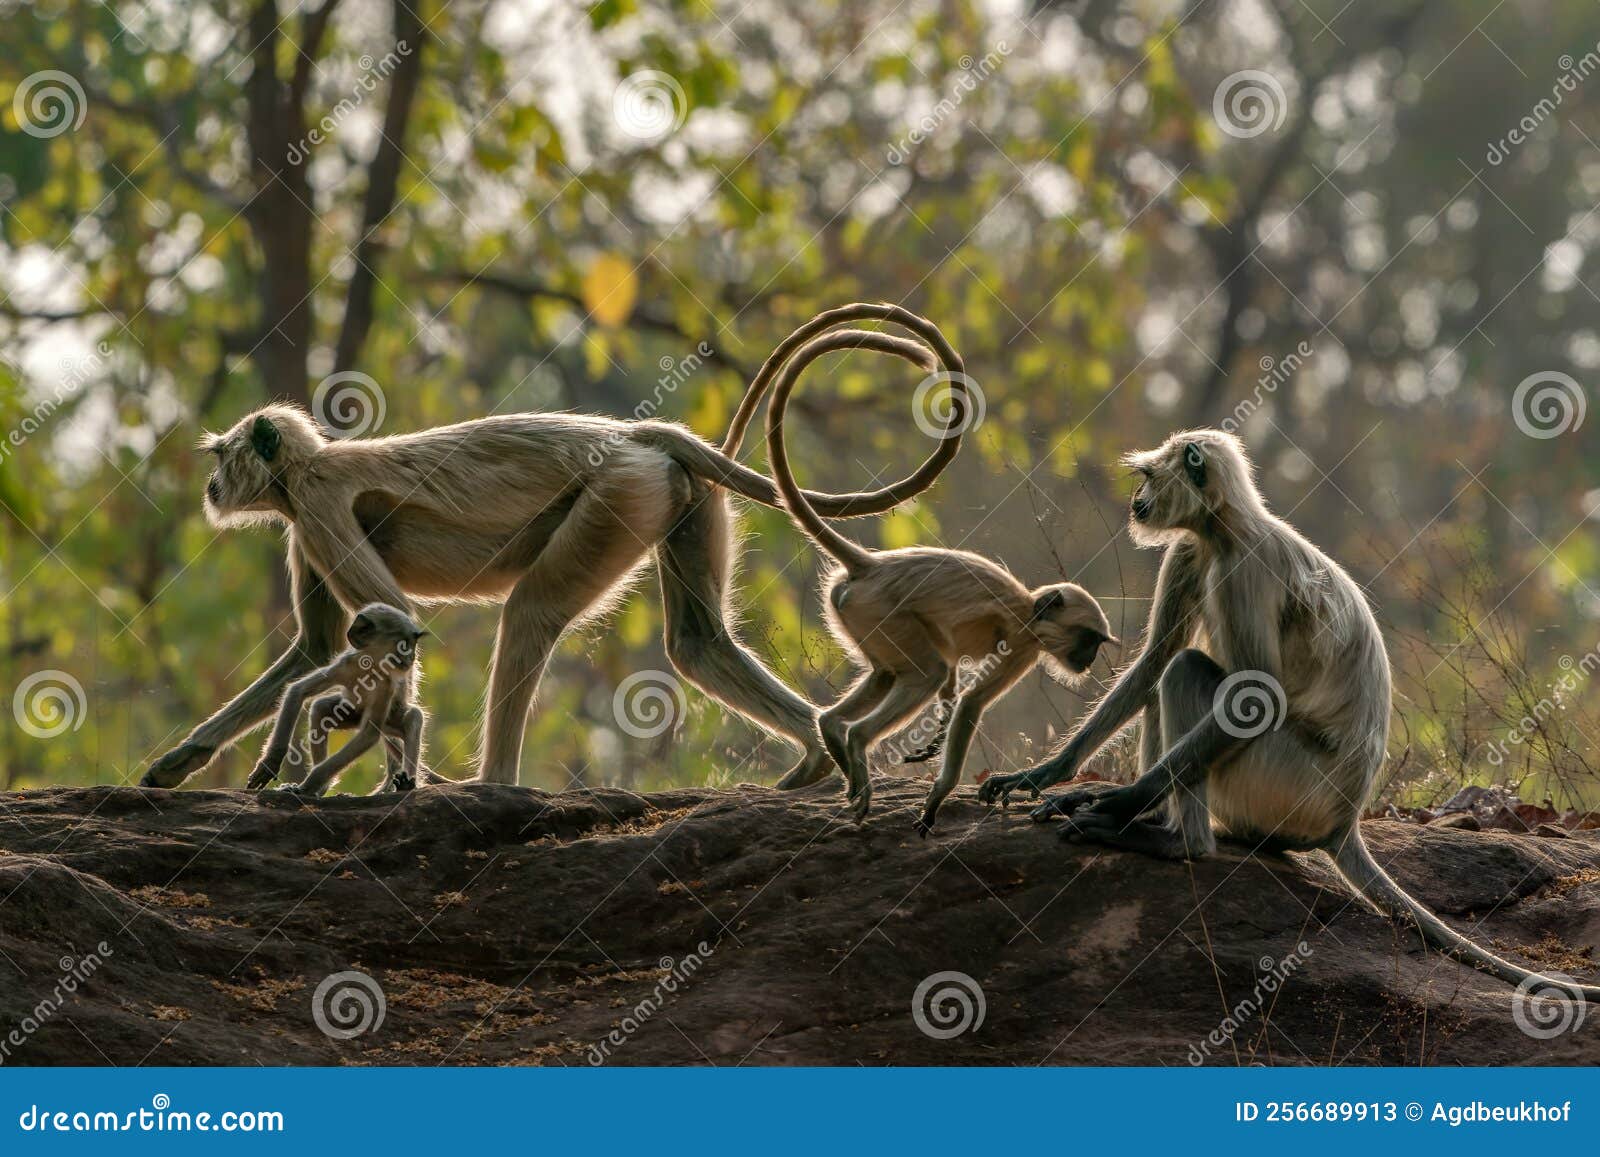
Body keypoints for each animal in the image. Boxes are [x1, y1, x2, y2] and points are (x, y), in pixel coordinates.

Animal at [249, 603, 429, 796]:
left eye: (413, 645)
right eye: (404, 645)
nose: (412, 657)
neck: (370, 668)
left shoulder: (386, 686)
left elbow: (369, 734)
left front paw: (308, 783)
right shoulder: (346, 665)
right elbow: (298, 691)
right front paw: (271, 762)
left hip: (390, 719)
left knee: (413, 717)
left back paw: (406, 785)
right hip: (355, 715)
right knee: (320, 708)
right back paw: (321, 789)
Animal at [764, 325, 1118, 829]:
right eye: (1088, 641)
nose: (1088, 661)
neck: (1030, 607)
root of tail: (872, 565)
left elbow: (950, 679)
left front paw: (941, 724)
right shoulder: (1023, 643)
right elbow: (968, 702)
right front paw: (939, 793)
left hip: (859, 612)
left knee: (886, 675)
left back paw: (835, 733)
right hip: (880, 609)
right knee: (923, 673)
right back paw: (856, 743)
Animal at [978, 428, 1600, 1000]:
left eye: (1149, 478)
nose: (1137, 501)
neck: (1227, 529)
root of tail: (1345, 819)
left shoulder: (1244, 569)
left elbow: (1255, 698)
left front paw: (1118, 800)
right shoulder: (1191, 549)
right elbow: (1152, 659)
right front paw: (1051, 776)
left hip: (1282, 782)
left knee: (1187, 672)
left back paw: (1179, 843)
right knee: (1168, 674)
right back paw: (1157, 820)